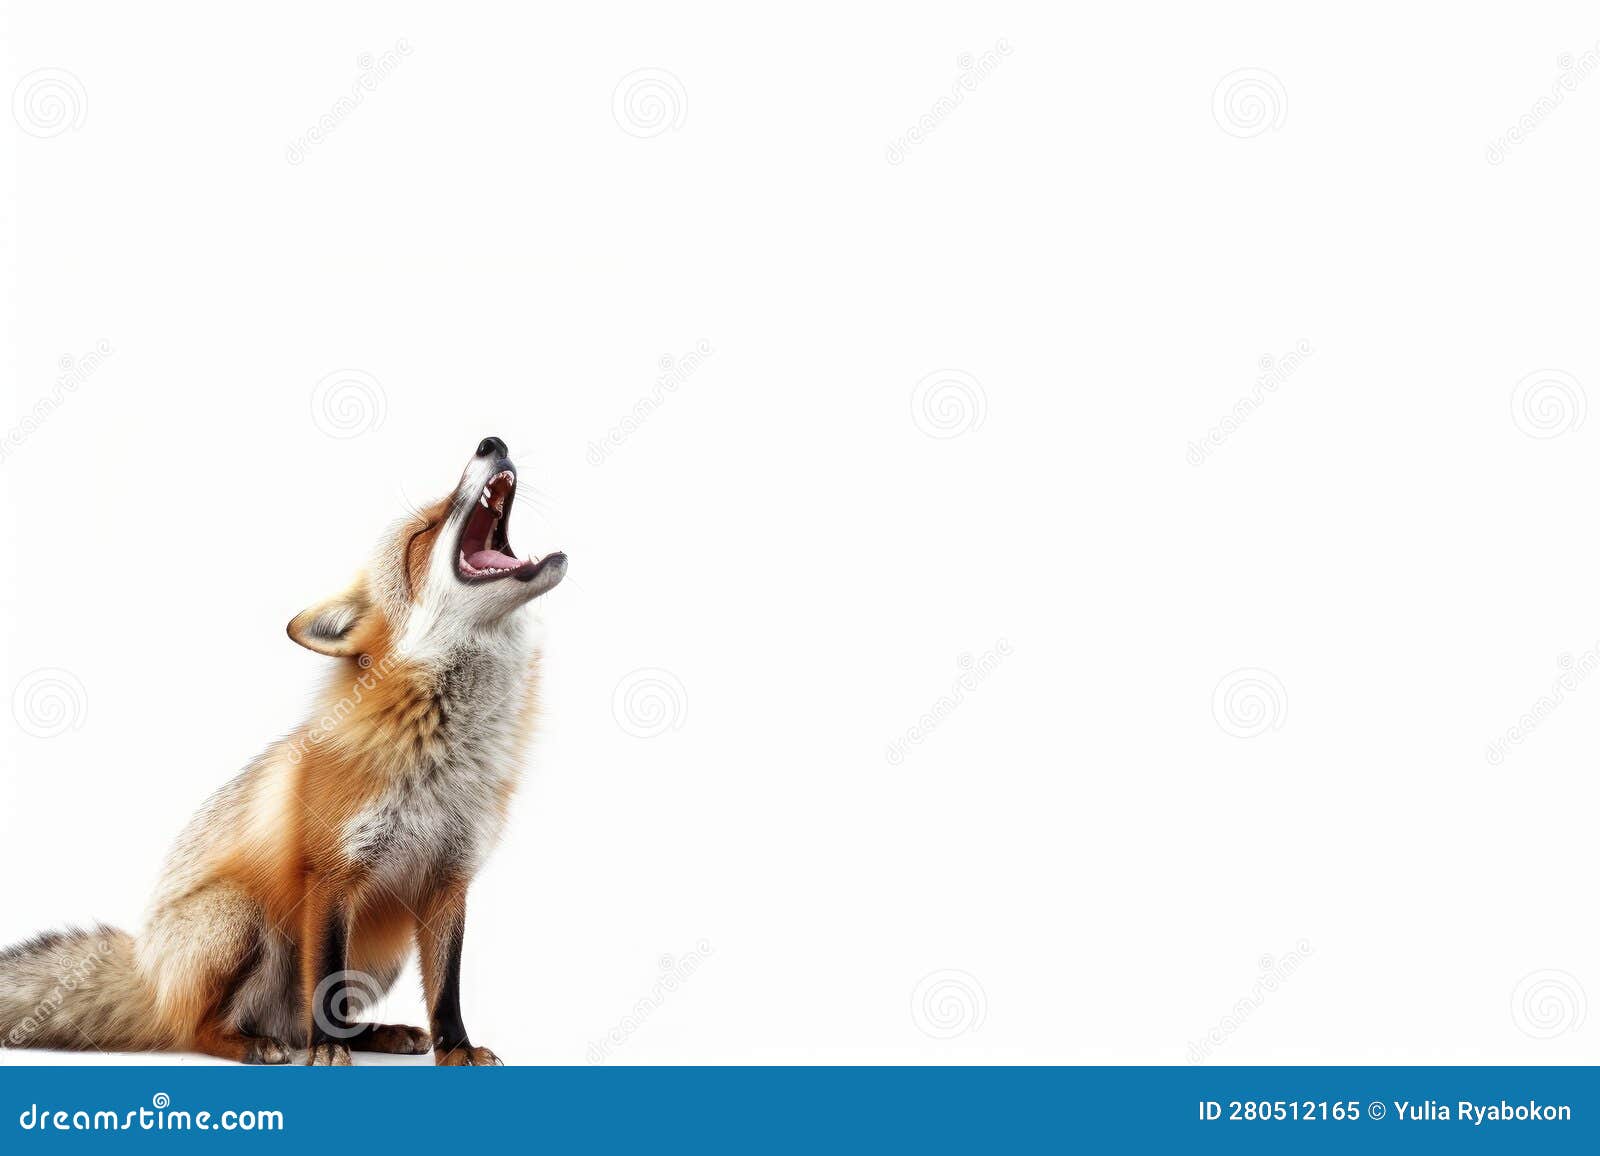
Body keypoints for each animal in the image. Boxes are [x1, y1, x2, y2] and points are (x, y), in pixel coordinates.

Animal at [0, 437, 566, 1065]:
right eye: (424, 531)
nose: (492, 443)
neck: (446, 757)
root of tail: (149, 972)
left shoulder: (449, 880)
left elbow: (447, 986)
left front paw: (456, 1048)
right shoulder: (331, 874)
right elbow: (326, 973)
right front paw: (327, 1052)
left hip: (382, 954)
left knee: (319, 1012)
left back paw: (373, 1033)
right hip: (239, 918)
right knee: (196, 1030)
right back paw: (256, 1044)